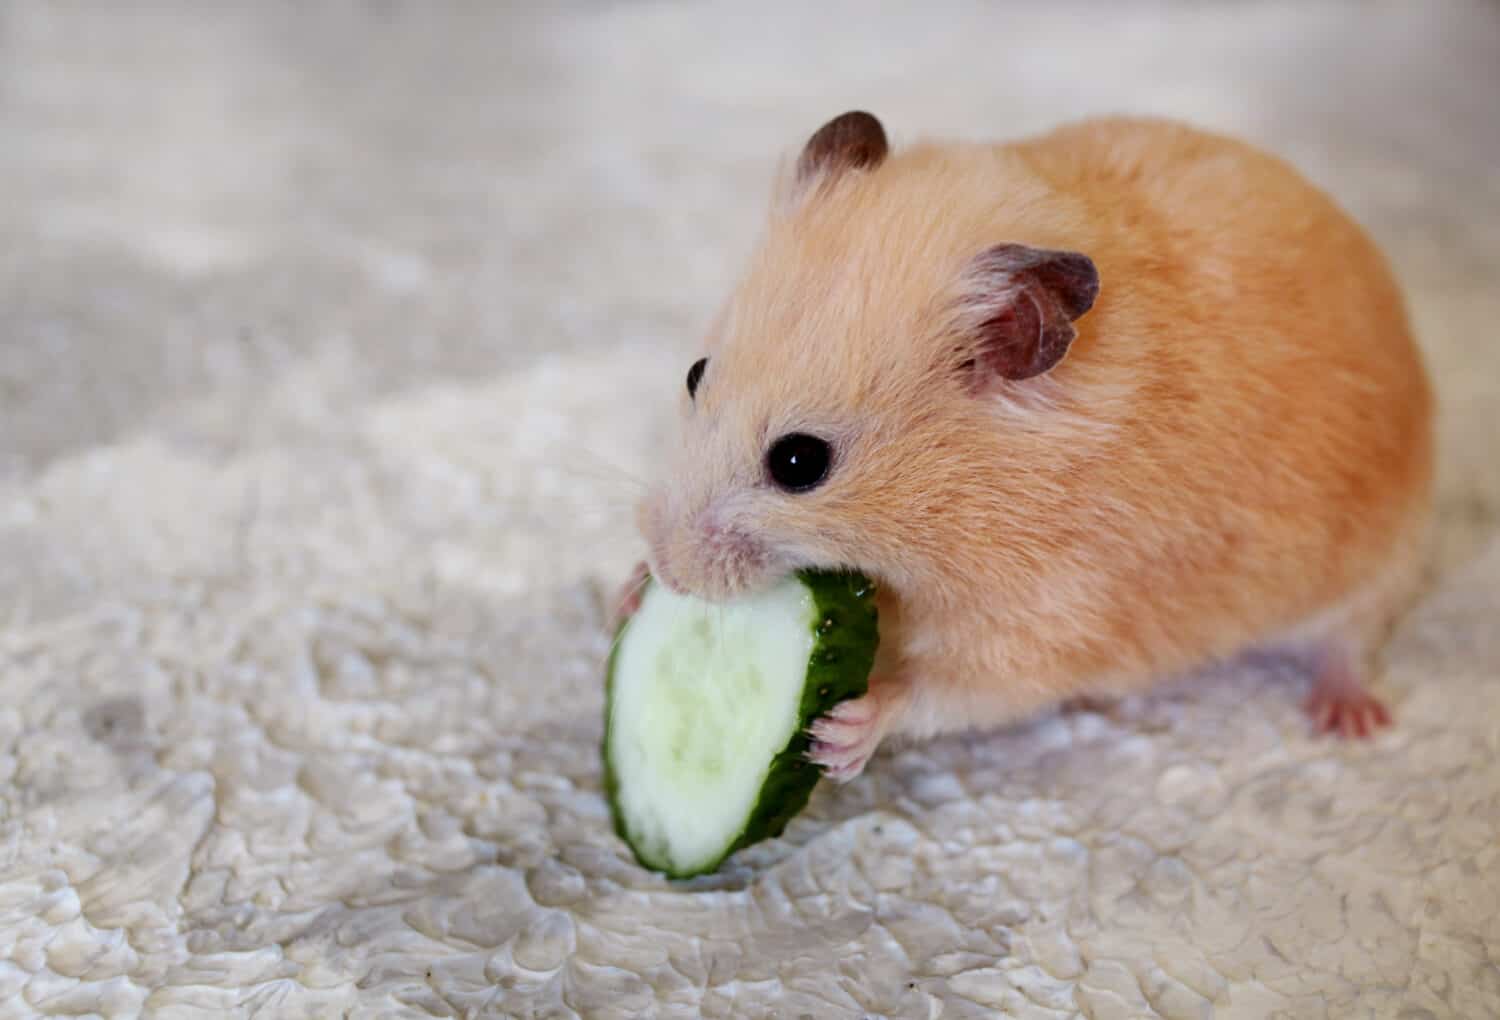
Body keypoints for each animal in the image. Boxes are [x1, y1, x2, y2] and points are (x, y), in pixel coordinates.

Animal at [621, 111, 1435, 781]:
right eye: (695, 374)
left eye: (799, 463)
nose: (674, 572)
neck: (948, 503)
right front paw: (629, 592)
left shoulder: (1050, 620)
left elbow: (950, 691)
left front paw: (841, 736)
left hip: (1380, 558)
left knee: (1353, 638)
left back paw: (1350, 719)